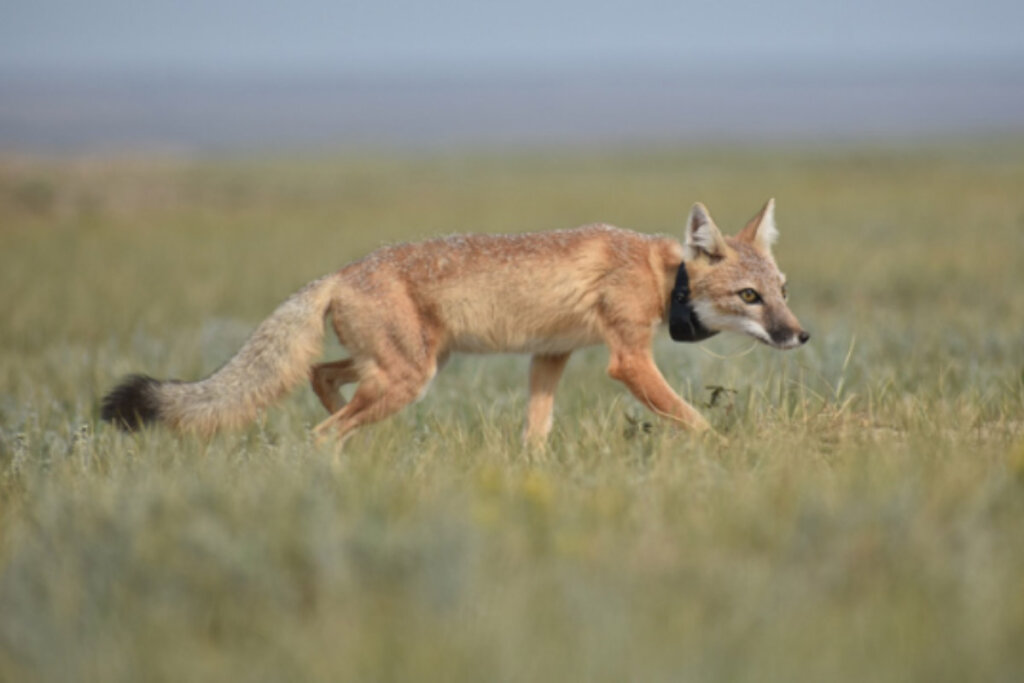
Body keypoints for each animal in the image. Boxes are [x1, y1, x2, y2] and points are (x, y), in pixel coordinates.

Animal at [101, 198, 808, 445]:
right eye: (749, 297)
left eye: (782, 291)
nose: (800, 334)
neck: (663, 275)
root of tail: (340, 271)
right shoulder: (628, 360)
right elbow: (693, 420)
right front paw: (734, 456)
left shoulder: (550, 356)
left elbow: (535, 433)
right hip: (409, 377)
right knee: (320, 431)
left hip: (401, 368)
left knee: (321, 380)